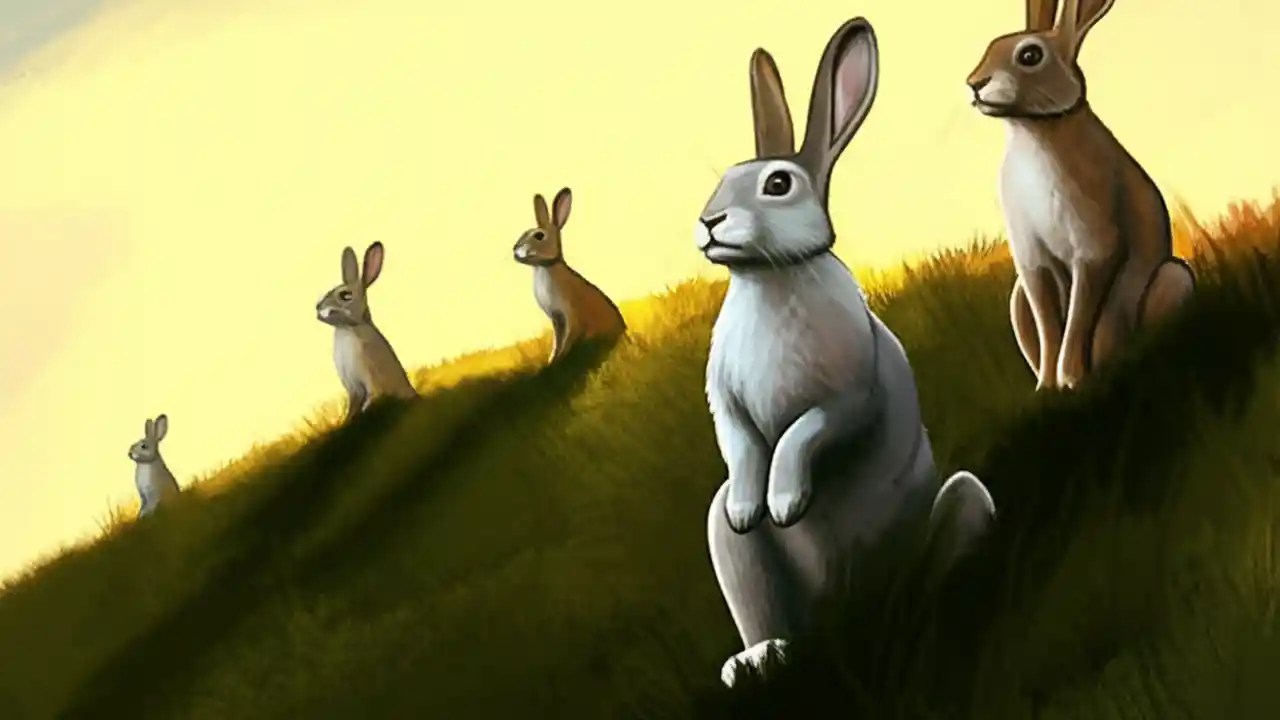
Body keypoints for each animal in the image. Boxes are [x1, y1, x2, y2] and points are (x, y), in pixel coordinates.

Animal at [316, 242, 417, 422]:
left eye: (345, 295)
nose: (318, 308)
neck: (347, 329)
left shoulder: (370, 378)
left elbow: (372, 396)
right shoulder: (352, 388)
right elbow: (353, 407)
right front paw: (346, 421)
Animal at [512, 187, 627, 364]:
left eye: (539, 236)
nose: (515, 249)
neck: (546, 266)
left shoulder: (570, 315)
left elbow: (567, 338)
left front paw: (558, 360)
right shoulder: (556, 319)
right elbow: (557, 342)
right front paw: (552, 359)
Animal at [695, 17, 997, 687]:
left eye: (778, 184)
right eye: (724, 177)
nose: (708, 222)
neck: (772, 274)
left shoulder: (850, 394)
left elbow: (805, 430)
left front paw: (784, 501)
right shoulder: (726, 404)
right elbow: (741, 444)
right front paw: (752, 505)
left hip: (965, 501)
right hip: (728, 550)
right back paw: (754, 661)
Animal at [967, 0, 1194, 390]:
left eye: (1030, 55)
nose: (974, 83)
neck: (1035, 129)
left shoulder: (1093, 246)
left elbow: (1078, 317)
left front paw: (1071, 378)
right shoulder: (1033, 261)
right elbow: (1048, 325)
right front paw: (1046, 387)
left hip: (1174, 279)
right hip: (1017, 299)